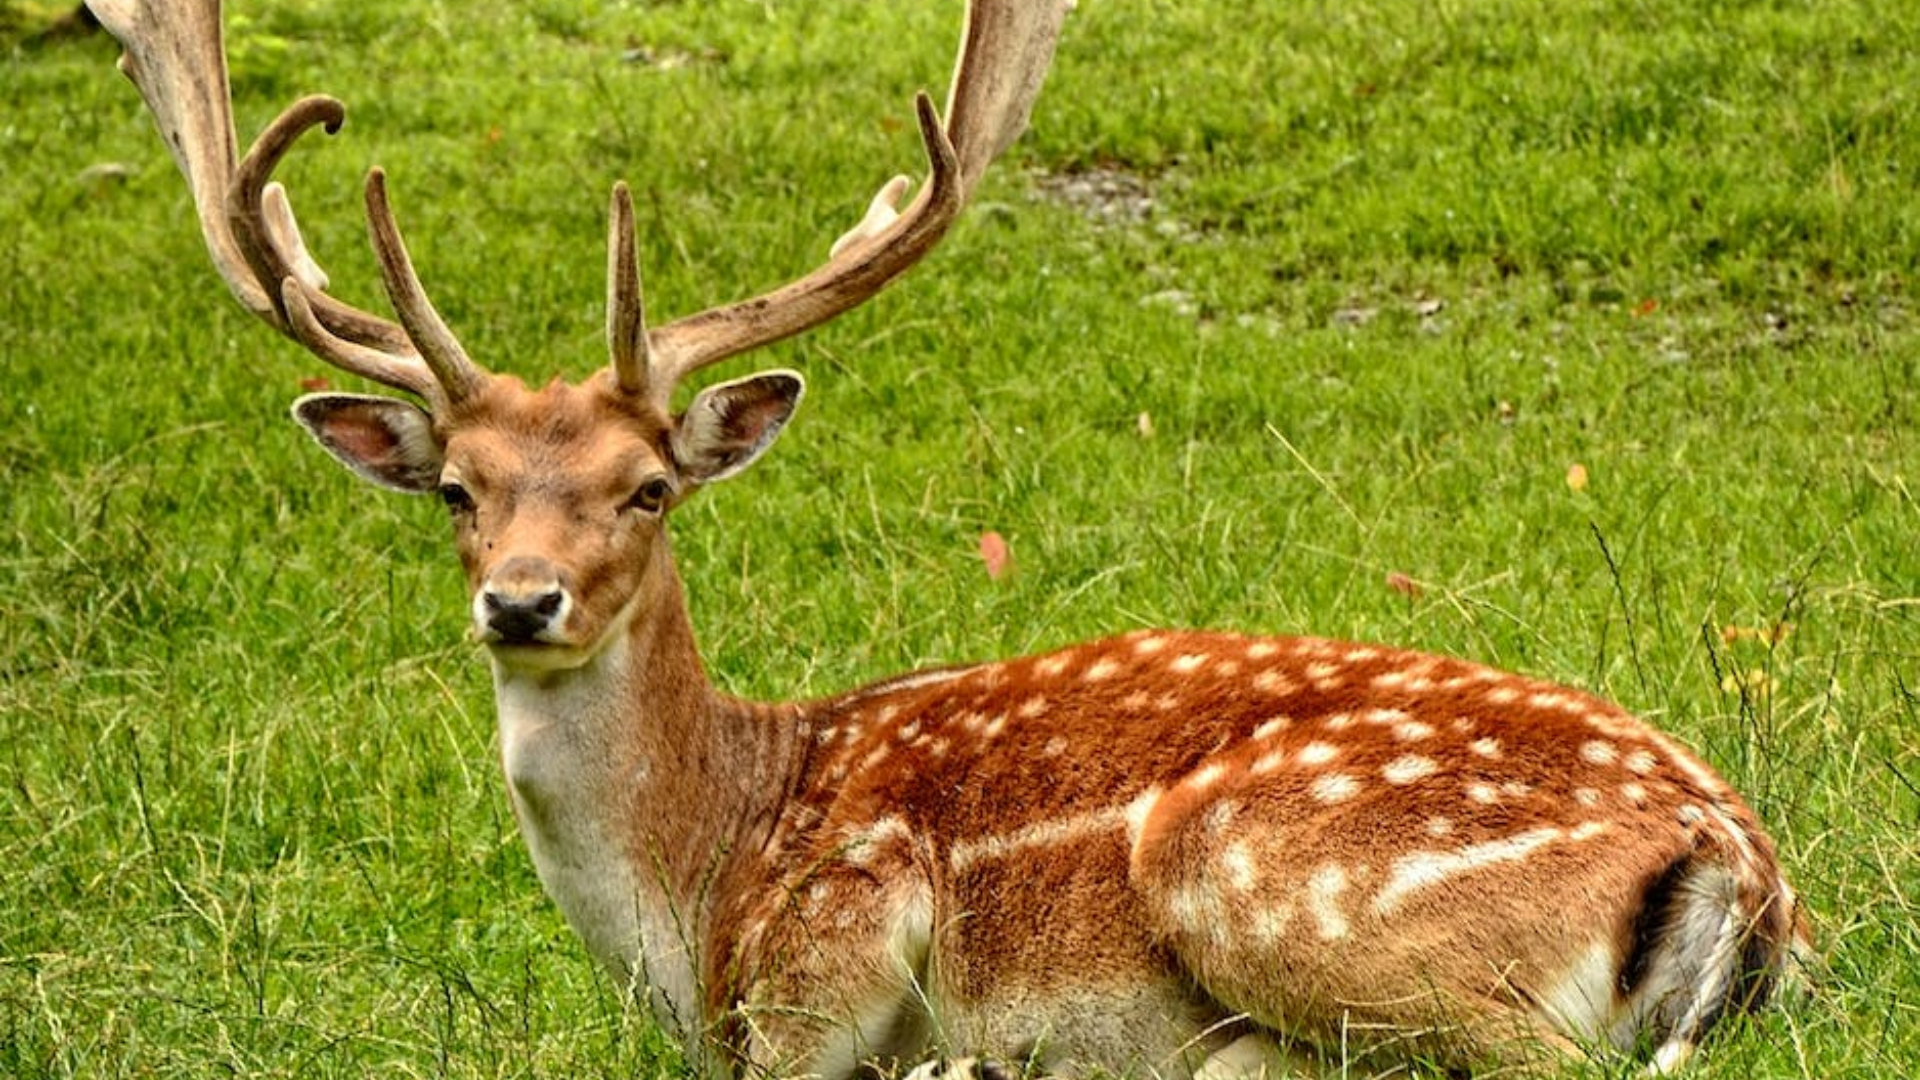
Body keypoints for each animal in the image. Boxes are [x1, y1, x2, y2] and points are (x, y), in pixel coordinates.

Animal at [88, 0, 1809, 1076]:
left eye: (649, 487)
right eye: (458, 488)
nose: (523, 601)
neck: (699, 884)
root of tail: (1743, 865)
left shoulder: (832, 944)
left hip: (1260, 873)